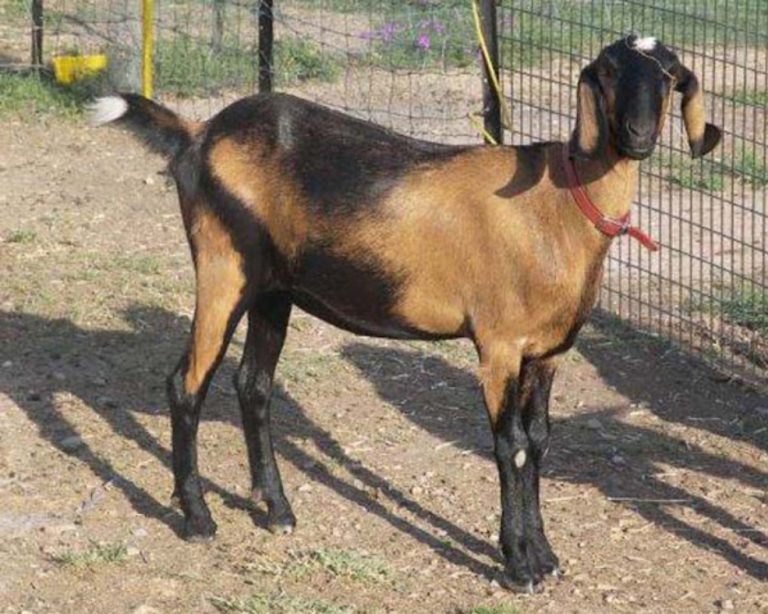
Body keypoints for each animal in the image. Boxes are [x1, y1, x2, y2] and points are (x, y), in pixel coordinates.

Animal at [91, 35, 721, 592]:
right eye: (608, 72)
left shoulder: (547, 352)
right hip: (225, 267)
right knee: (186, 383)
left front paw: (545, 556)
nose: (637, 136)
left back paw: (277, 511)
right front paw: (518, 566)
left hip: (273, 289)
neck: (558, 202)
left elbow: (539, 442)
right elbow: (511, 446)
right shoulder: (498, 345)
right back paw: (198, 518)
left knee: (254, 386)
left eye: (670, 76)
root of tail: (198, 133)